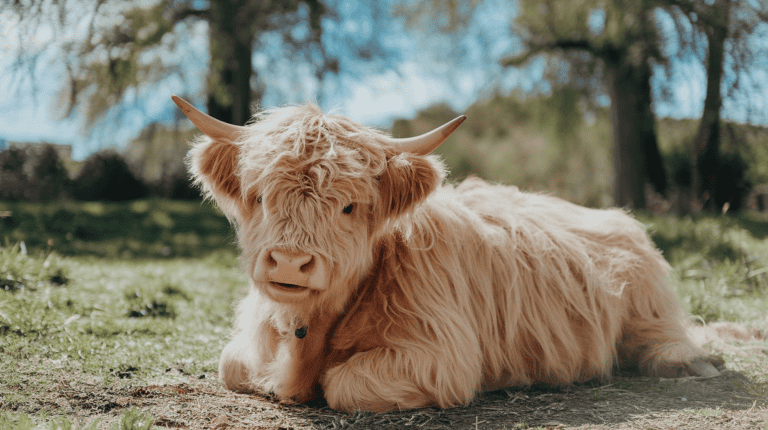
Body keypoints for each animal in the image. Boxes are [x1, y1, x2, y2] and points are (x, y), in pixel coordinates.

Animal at [172, 95, 721, 413]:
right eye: (259, 197)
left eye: (349, 206)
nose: (289, 262)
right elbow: (233, 366)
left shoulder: (440, 356)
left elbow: (341, 383)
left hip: (648, 305)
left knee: (664, 339)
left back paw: (692, 363)